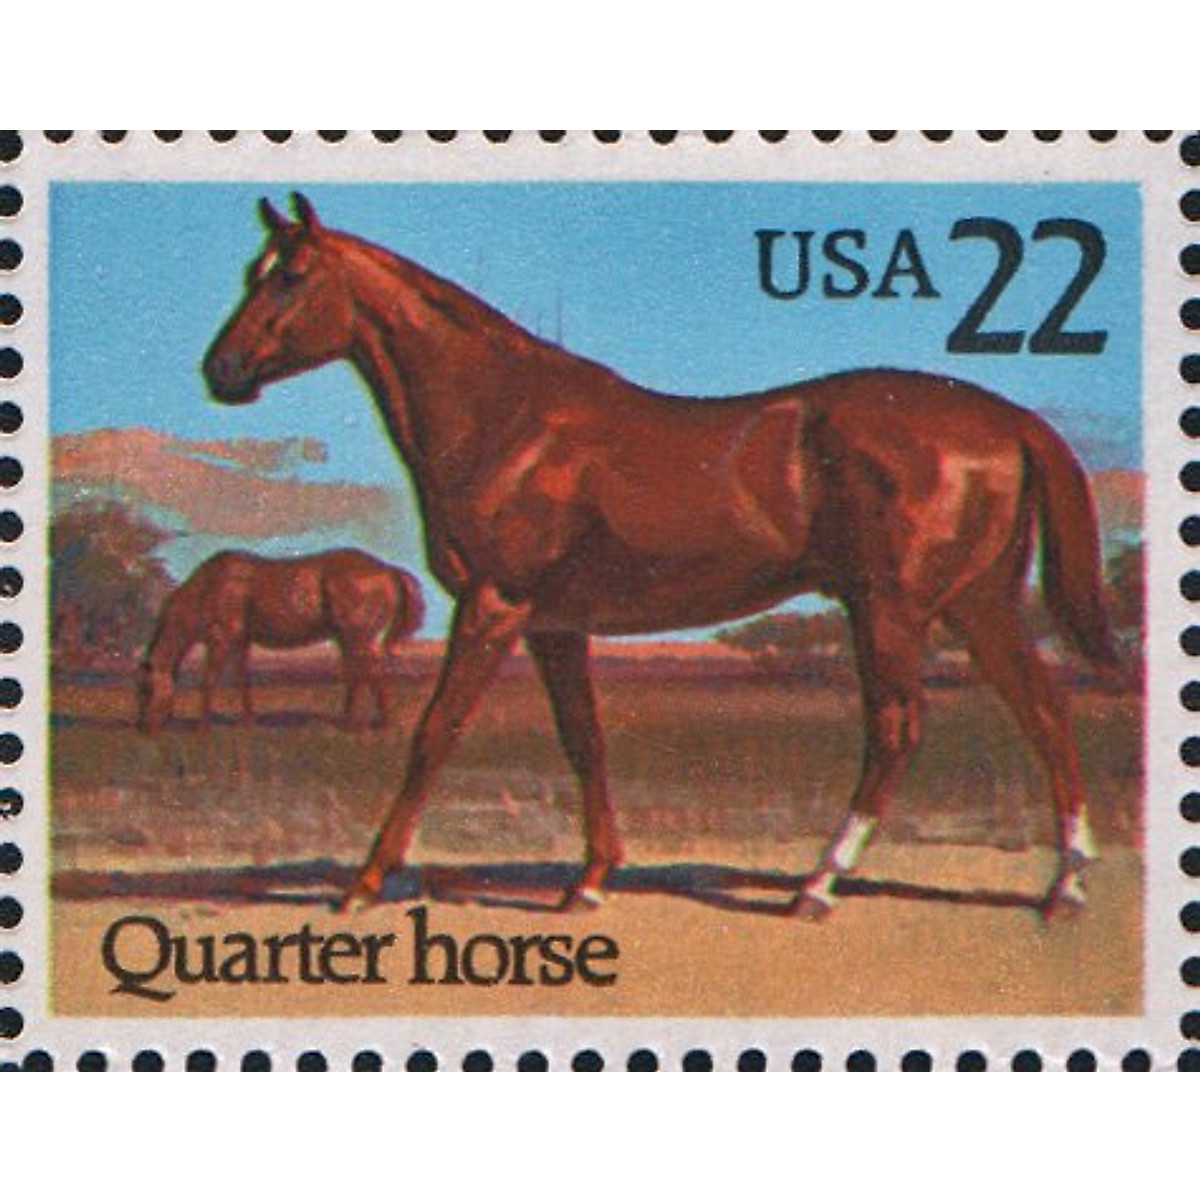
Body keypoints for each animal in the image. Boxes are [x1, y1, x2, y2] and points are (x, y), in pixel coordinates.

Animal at [137, 548, 424, 733]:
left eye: (147, 689)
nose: (144, 727)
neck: (211, 585)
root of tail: (386, 570)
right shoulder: (240, 642)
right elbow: (242, 679)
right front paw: (247, 721)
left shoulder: (221, 639)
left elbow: (208, 680)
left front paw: (202, 727)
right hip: (350, 639)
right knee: (359, 673)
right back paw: (352, 722)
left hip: (357, 636)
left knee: (370, 672)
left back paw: (373, 725)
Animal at [203, 193, 1120, 919]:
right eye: (251, 270)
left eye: (290, 276)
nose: (222, 370)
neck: (507, 420)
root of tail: (1007, 420)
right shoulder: (554, 625)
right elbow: (584, 740)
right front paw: (589, 880)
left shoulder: (494, 605)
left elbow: (434, 734)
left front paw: (362, 884)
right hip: (978, 602)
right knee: (1044, 709)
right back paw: (1064, 886)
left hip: (893, 606)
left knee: (898, 729)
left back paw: (819, 886)